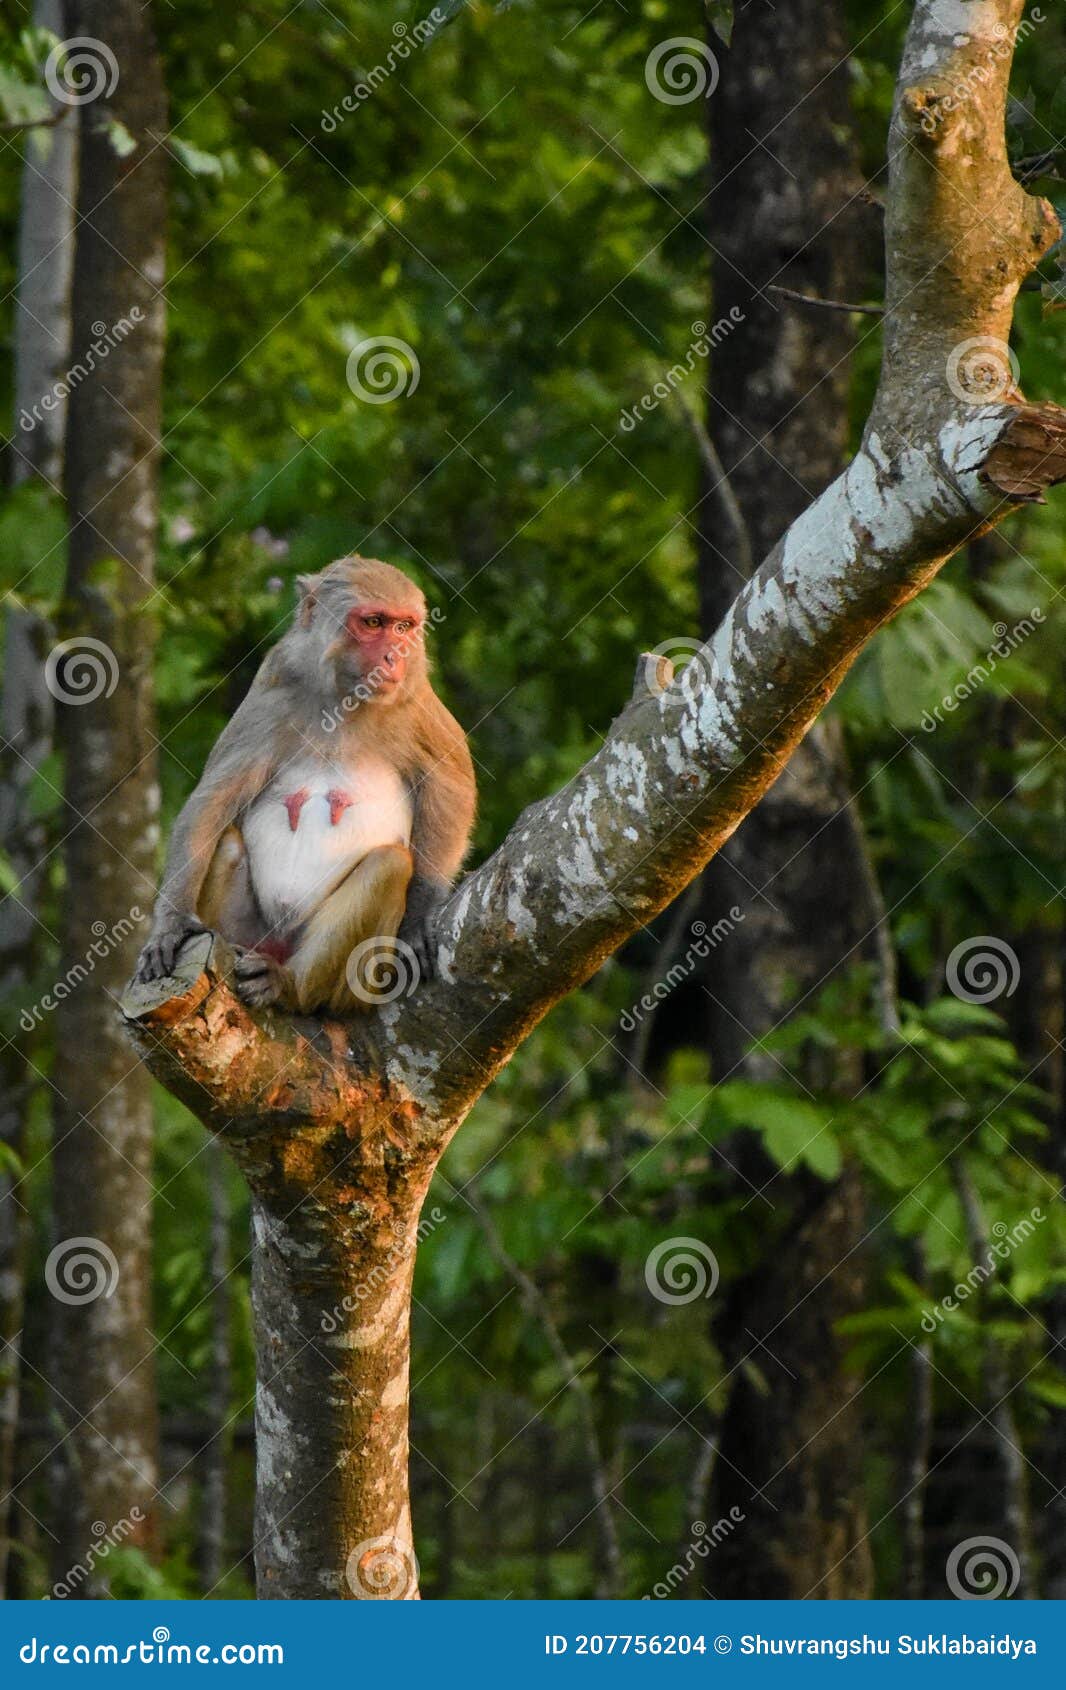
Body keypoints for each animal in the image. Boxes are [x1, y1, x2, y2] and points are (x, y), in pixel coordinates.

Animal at [135, 556, 476, 1014]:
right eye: (373, 622)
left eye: (404, 626)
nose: (394, 655)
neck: (343, 698)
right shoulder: (272, 693)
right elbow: (212, 800)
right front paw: (170, 924)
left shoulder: (413, 699)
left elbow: (450, 785)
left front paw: (421, 908)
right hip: (253, 935)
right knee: (227, 841)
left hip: (355, 984)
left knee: (387, 866)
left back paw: (290, 986)